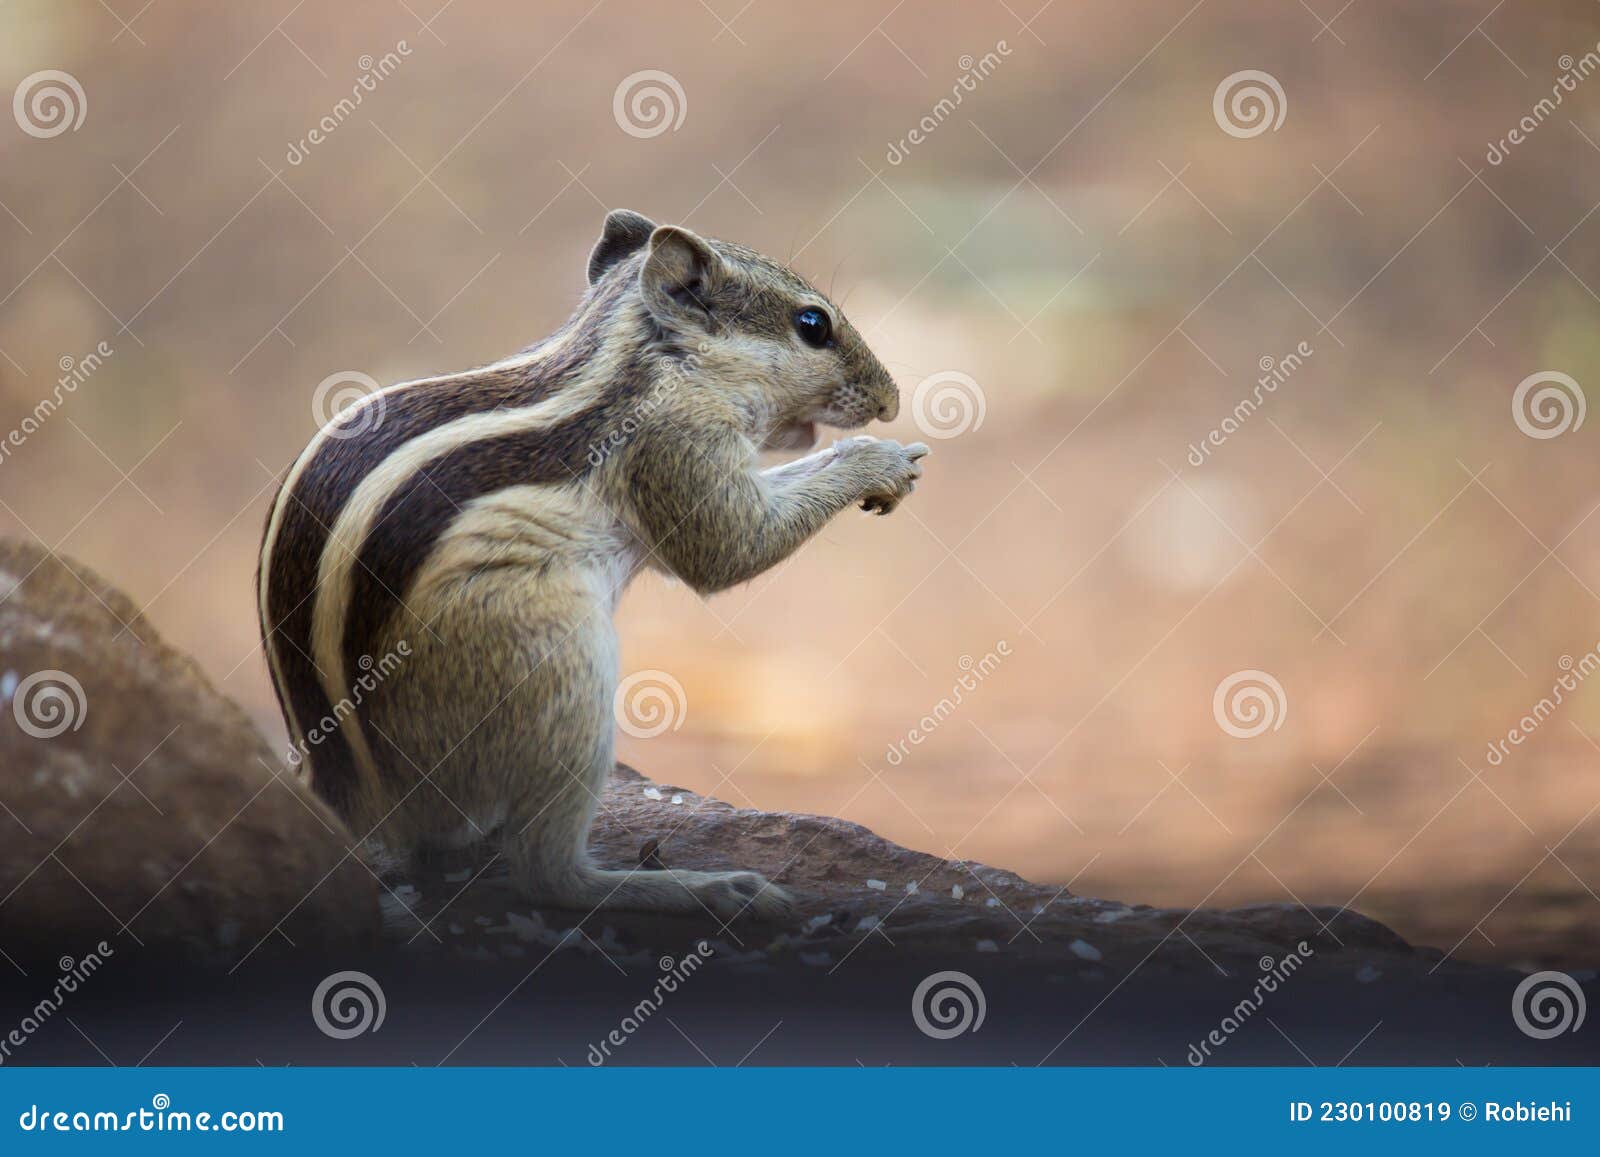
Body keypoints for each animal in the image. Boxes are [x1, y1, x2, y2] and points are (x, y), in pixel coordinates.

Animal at [257, 209, 928, 921]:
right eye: (813, 325)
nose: (890, 401)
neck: (645, 363)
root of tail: (349, 799)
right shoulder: (675, 444)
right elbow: (730, 546)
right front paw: (877, 461)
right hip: (560, 677)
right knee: (545, 874)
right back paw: (700, 888)